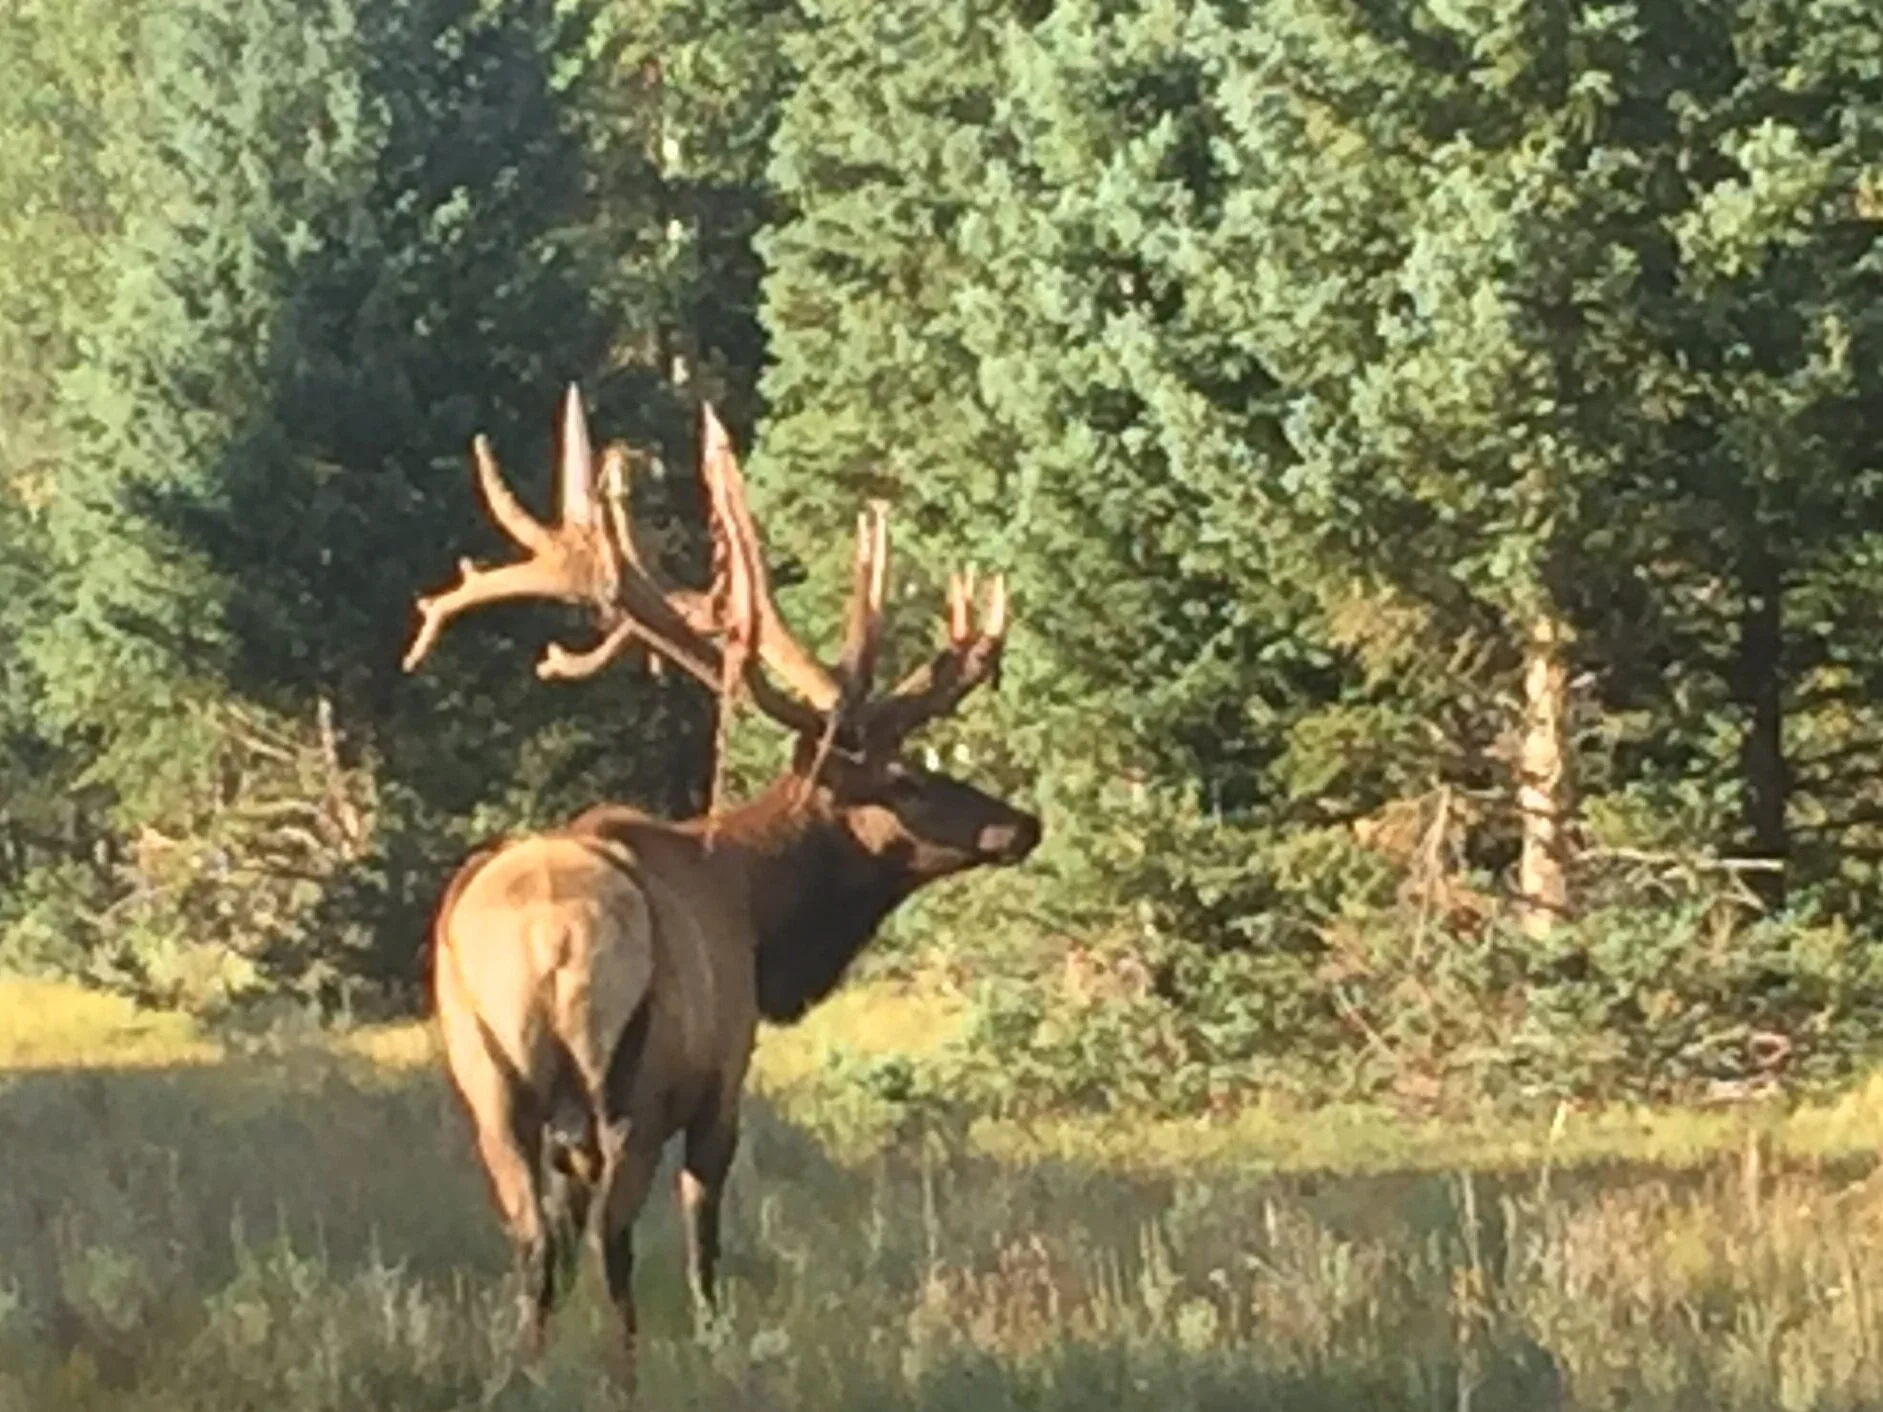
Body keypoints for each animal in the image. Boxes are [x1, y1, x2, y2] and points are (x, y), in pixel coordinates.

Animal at [401, 387, 1040, 1382]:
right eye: (905, 780)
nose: (1023, 824)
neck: (757, 914)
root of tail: (545, 936)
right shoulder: (723, 1074)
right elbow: (705, 1235)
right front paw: (715, 1334)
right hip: (631, 1074)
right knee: (611, 1234)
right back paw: (627, 1369)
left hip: (487, 1073)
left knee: (536, 1235)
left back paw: (526, 1366)